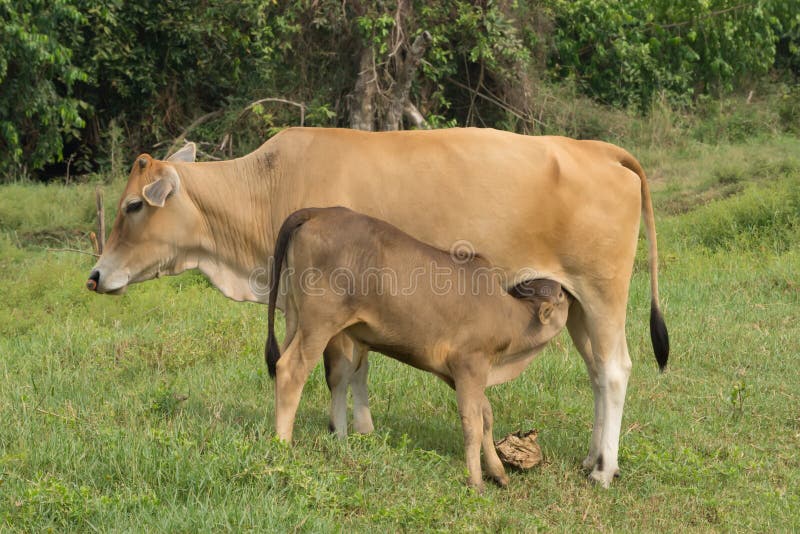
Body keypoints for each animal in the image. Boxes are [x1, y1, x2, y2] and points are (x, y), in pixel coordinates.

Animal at [264, 206, 572, 490]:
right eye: (559, 294)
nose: (568, 291)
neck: (507, 315)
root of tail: (319, 211)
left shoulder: (456, 372)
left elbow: (486, 413)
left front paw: (498, 472)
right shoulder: (469, 364)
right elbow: (472, 422)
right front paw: (476, 482)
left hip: (296, 318)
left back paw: (338, 439)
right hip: (320, 322)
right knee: (291, 370)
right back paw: (283, 443)